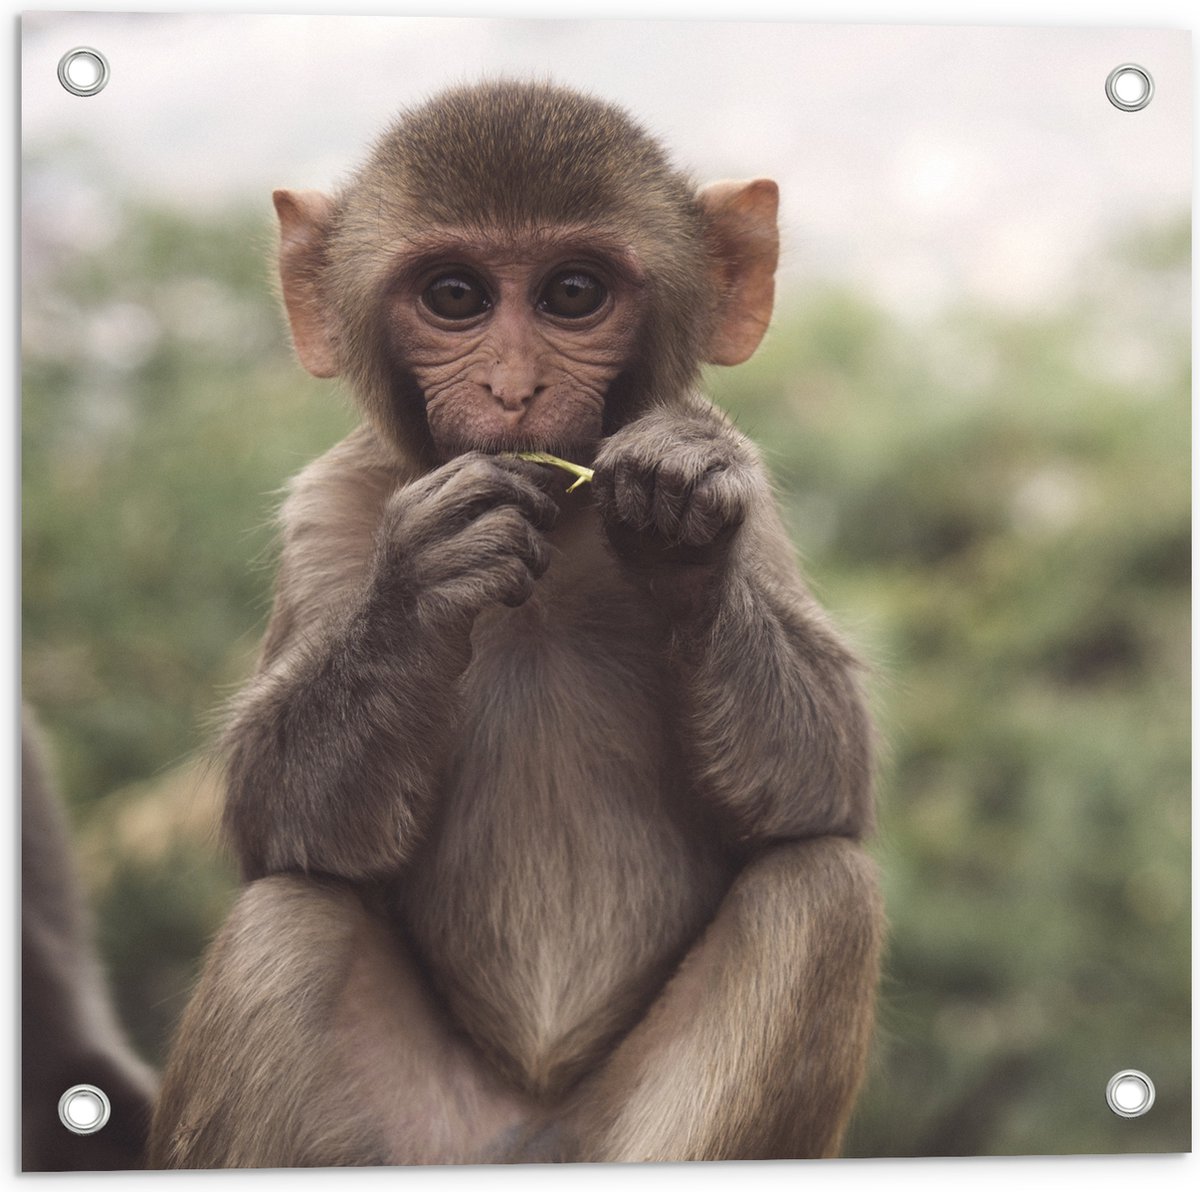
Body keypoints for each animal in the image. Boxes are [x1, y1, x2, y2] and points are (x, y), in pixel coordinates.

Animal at [148, 80, 883, 1168]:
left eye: (572, 293)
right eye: (455, 297)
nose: (513, 390)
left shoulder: (758, 505)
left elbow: (825, 777)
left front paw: (681, 528)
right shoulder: (328, 510)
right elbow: (275, 816)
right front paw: (424, 584)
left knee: (821, 892)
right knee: (289, 920)